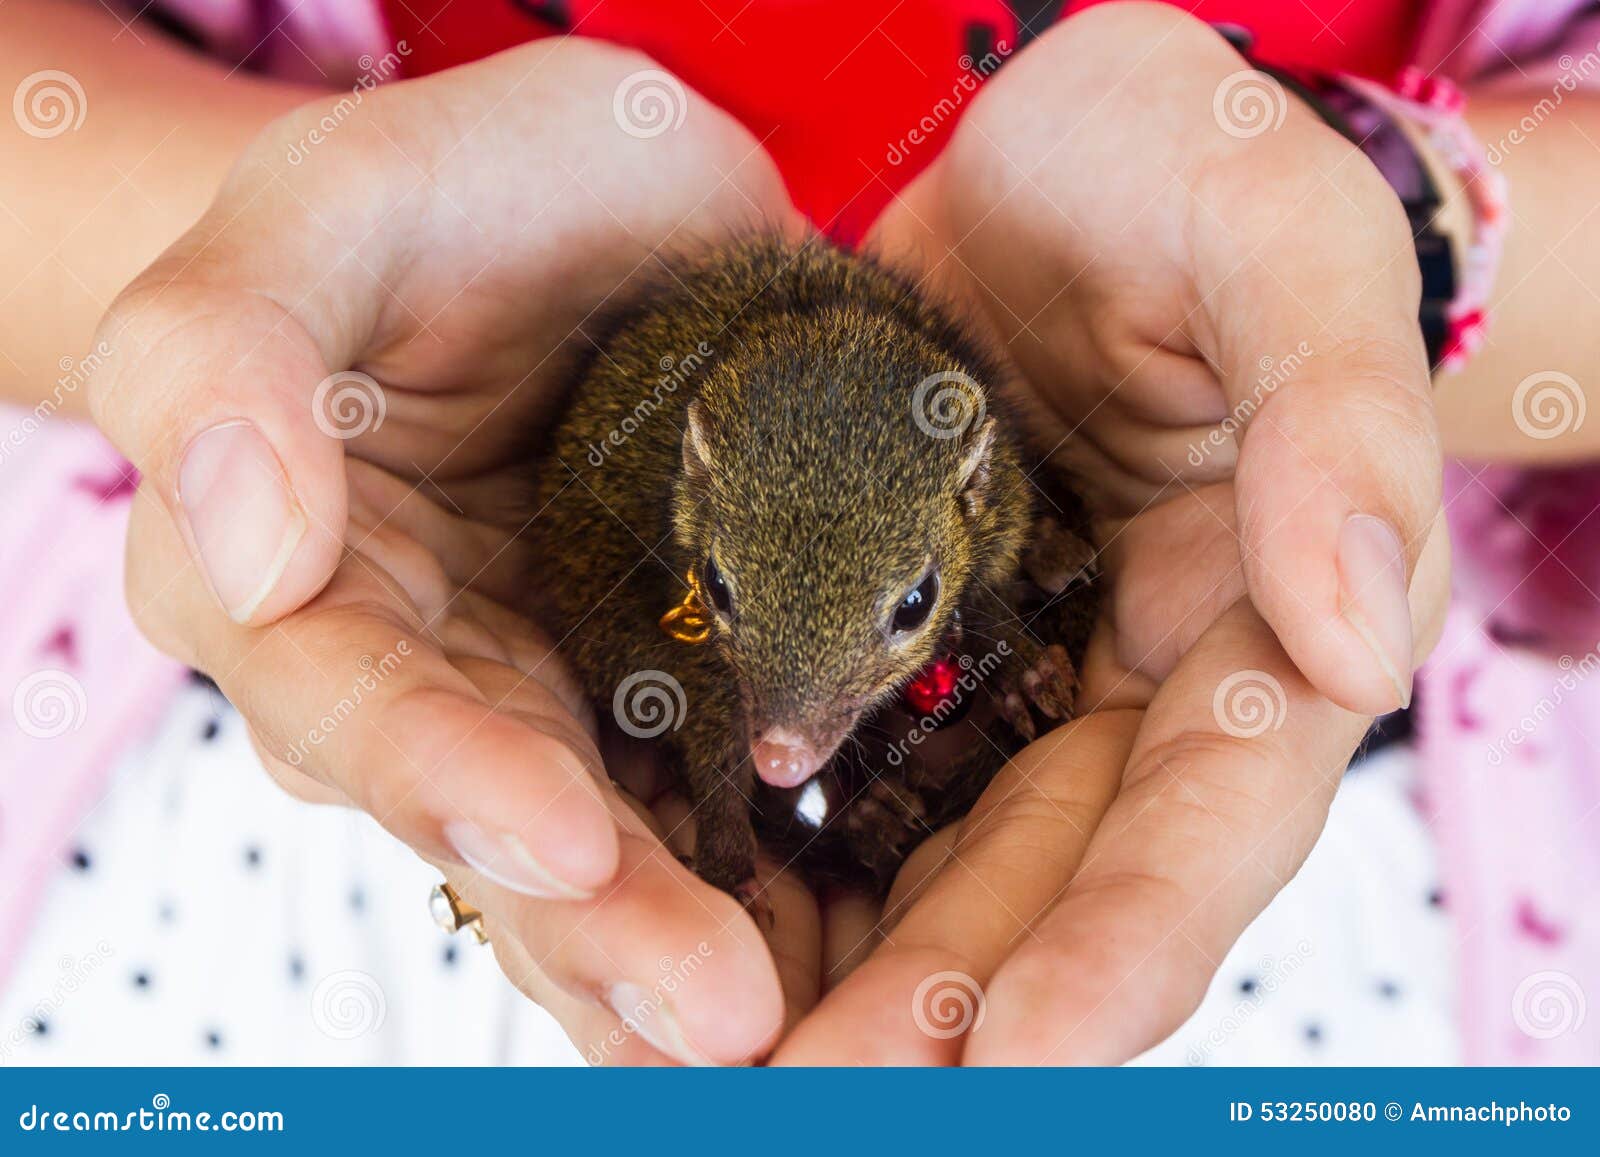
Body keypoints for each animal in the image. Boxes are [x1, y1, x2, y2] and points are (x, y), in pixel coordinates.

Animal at [520, 237, 1099, 918]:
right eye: (716, 586)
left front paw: (1024, 668)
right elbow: (711, 747)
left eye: (916, 603)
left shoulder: (998, 502)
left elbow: (984, 599)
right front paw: (728, 861)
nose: (780, 758)